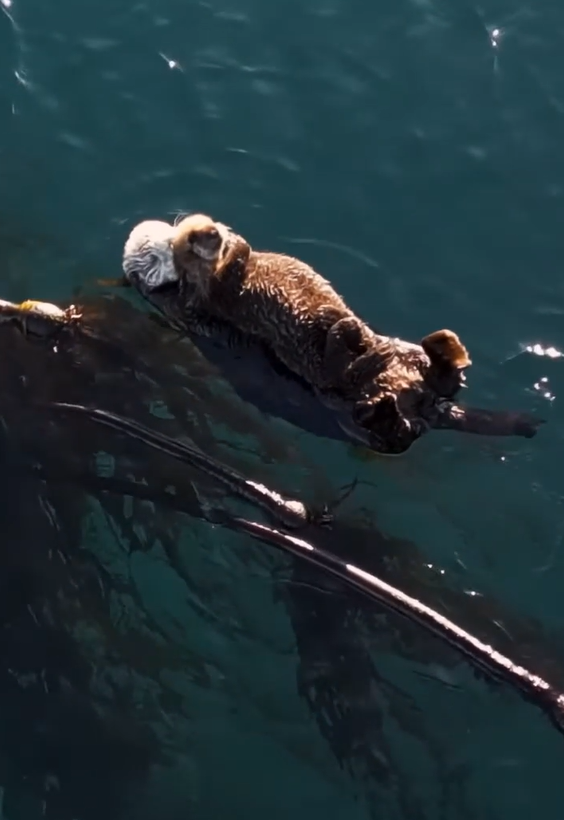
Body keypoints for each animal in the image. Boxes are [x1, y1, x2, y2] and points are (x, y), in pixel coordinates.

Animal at [122, 214, 543, 453]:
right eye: (176, 245)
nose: (206, 234)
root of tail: (429, 409)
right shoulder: (196, 302)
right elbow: (217, 285)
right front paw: (230, 248)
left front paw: (227, 237)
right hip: (354, 411)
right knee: (393, 433)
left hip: (408, 362)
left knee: (445, 383)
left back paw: (434, 345)